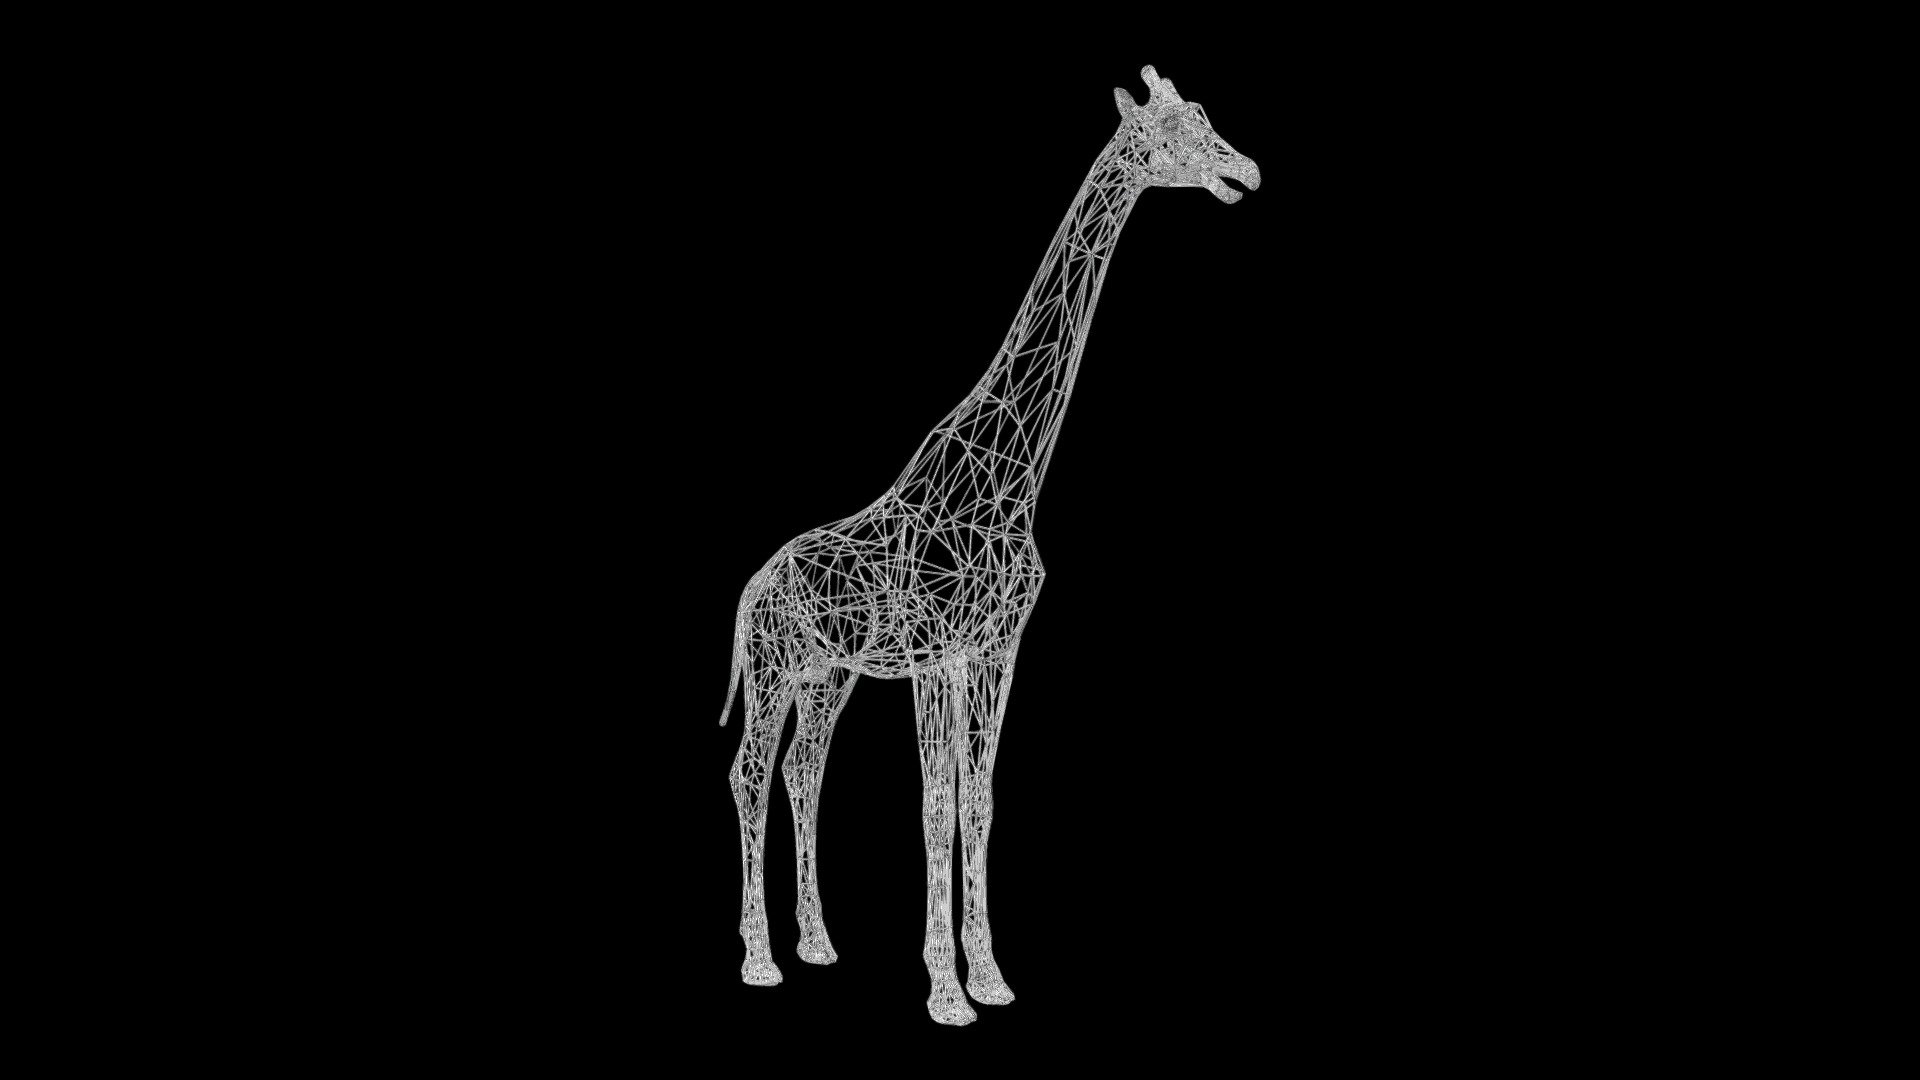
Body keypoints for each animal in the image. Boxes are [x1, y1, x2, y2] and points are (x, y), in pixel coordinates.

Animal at [718, 65, 1260, 1026]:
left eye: (1204, 117)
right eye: (1173, 135)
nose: (1247, 169)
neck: (1009, 469)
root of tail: (753, 585)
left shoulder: (997, 649)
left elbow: (981, 799)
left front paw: (993, 977)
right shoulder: (939, 653)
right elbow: (935, 805)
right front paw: (944, 991)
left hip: (827, 675)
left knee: (802, 773)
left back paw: (815, 943)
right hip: (779, 664)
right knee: (749, 774)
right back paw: (759, 959)